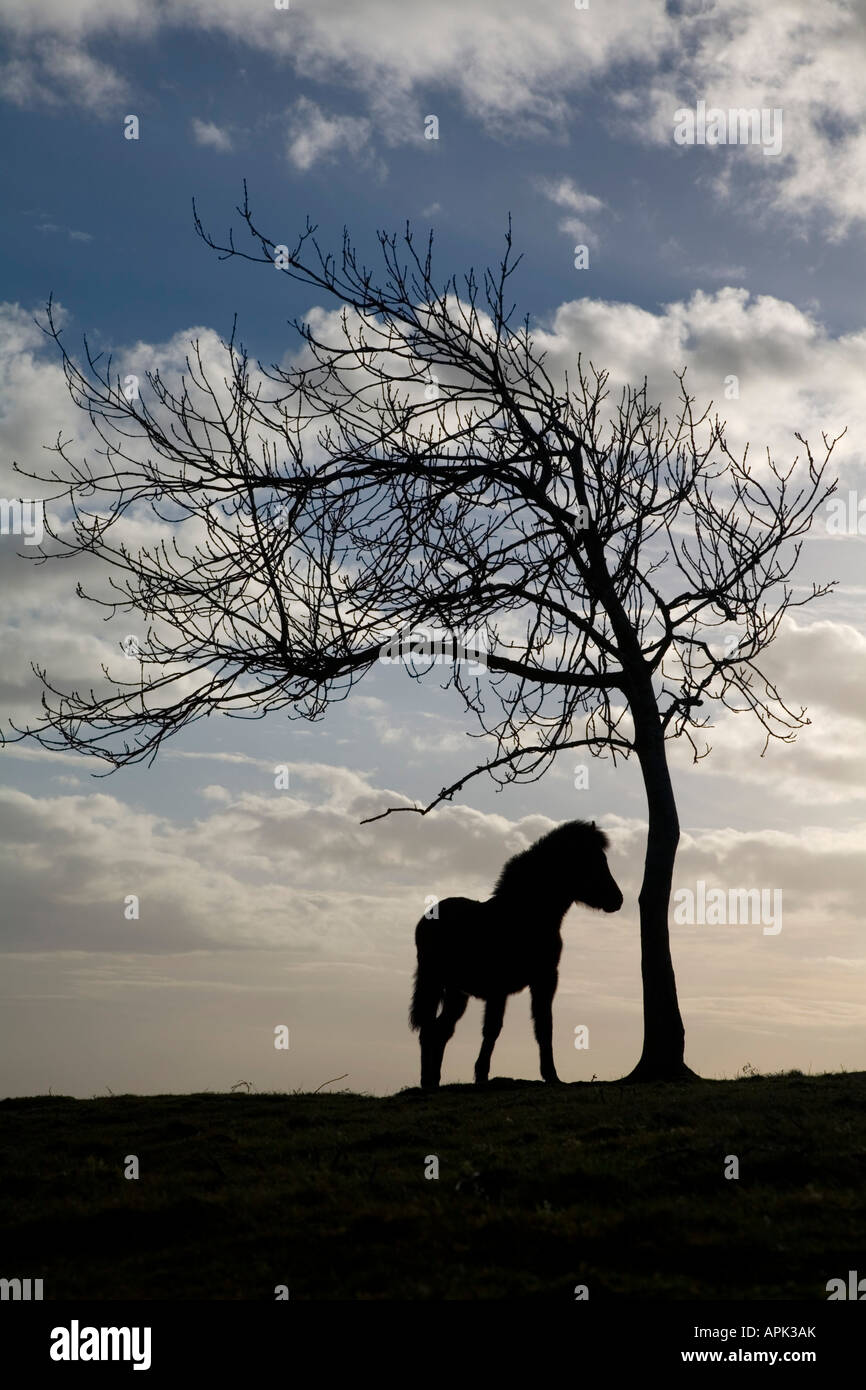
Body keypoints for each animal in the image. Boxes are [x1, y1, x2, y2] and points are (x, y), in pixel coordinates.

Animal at [409, 819, 623, 1089]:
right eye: (593, 860)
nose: (618, 899)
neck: (524, 914)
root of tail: (426, 918)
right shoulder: (497, 986)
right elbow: (492, 1029)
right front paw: (481, 1076)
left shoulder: (545, 979)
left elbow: (544, 1026)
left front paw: (552, 1076)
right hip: (433, 982)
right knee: (428, 1029)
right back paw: (427, 1082)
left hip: (456, 993)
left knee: (441, 1031)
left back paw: (434, 1080)